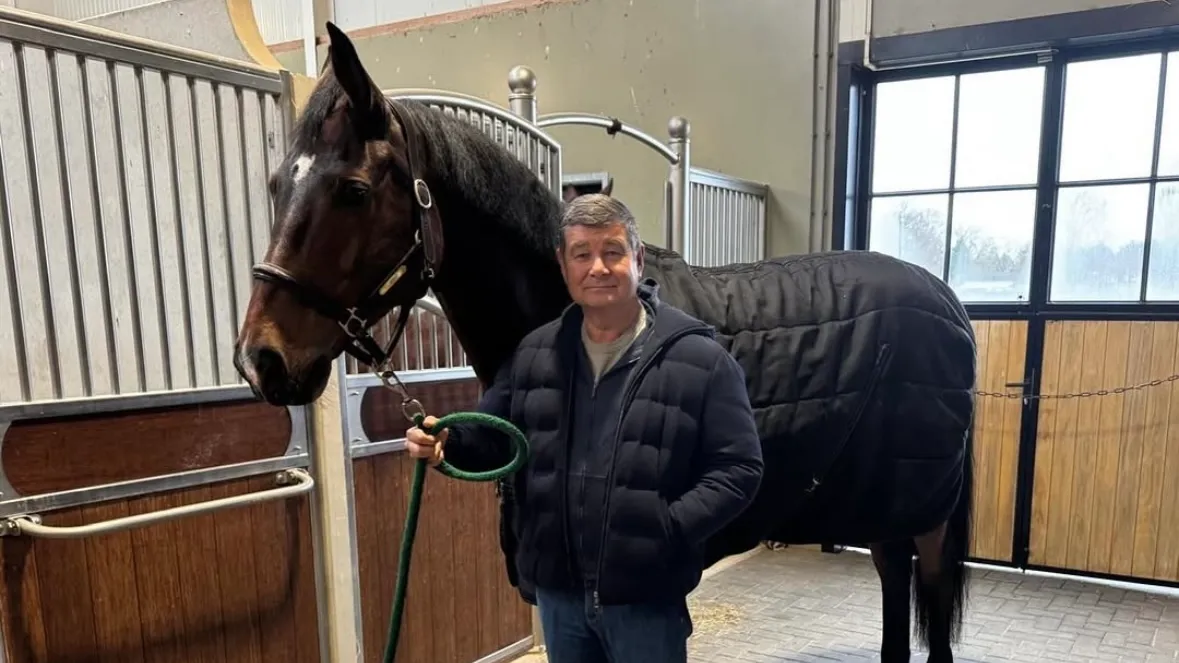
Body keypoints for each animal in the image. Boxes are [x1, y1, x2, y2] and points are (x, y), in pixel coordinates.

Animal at [233, 23, 978, 663]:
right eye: (273, 184)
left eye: (354, 191)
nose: (260, 360)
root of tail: (945, 301)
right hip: (888, 515)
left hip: (927, 520)